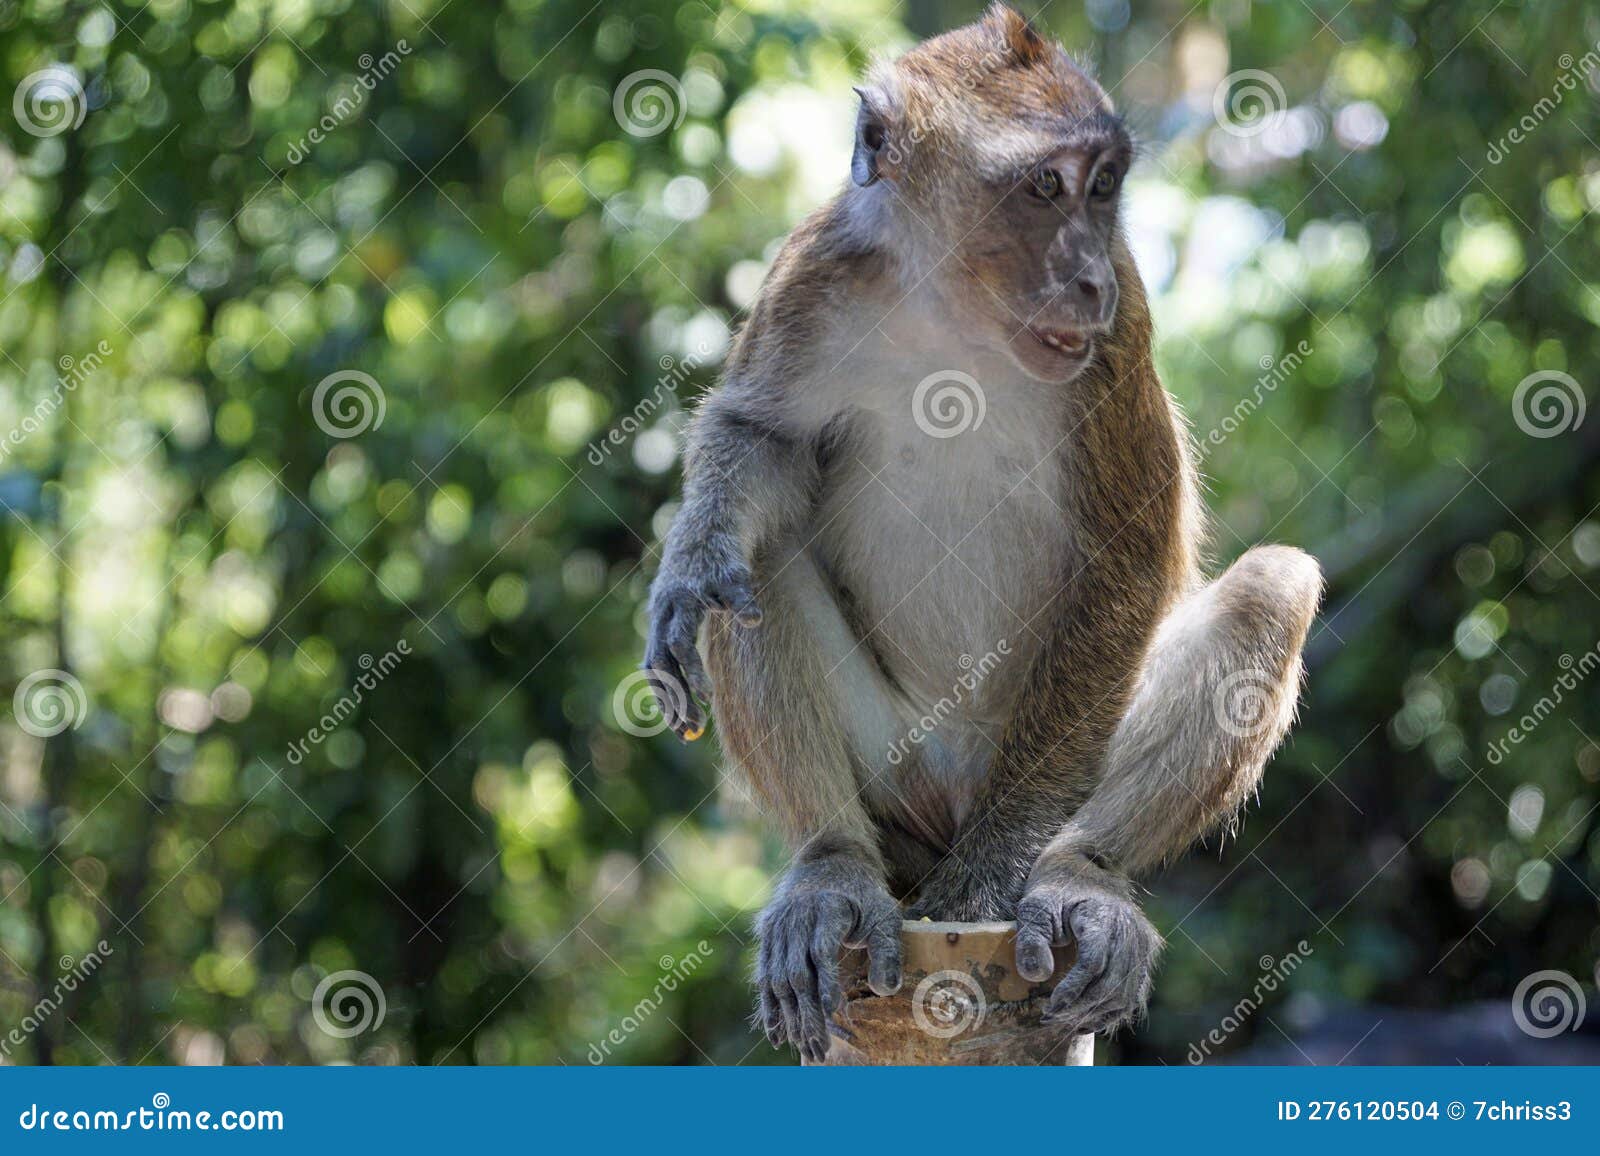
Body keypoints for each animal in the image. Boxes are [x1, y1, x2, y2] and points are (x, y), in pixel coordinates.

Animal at [642, 5, 1323, 1063]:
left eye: (1104, 185)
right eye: (1045, 186)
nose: (1086, 278)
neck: (953, 310)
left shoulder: (1121, 331)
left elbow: (1129, 557)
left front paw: (998, 876)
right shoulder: (814, 272)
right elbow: (761, 441)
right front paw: (690, 561)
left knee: (1272, 586)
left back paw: (1081, 874)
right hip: (899, 773)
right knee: (752, 575)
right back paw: (832, 869)